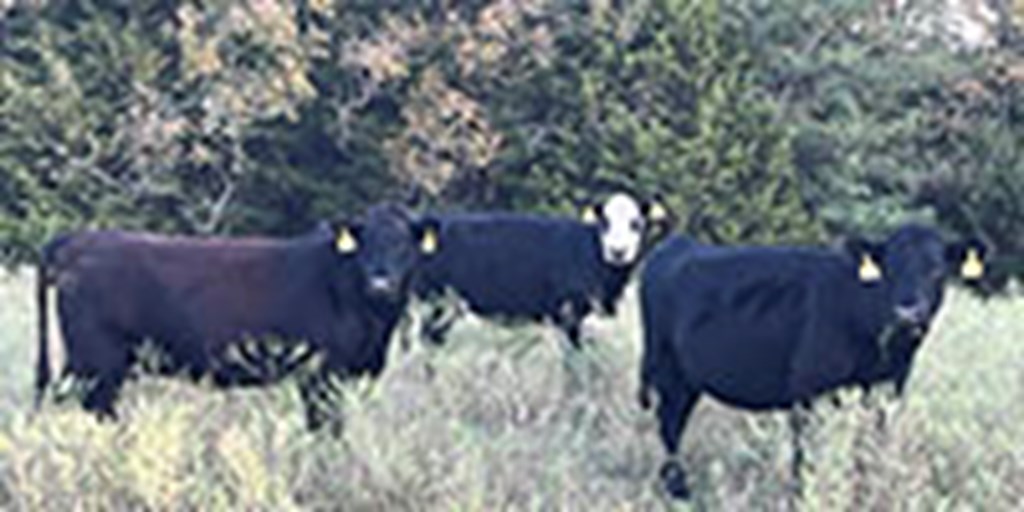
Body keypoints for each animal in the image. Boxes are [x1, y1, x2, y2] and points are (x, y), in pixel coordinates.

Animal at [35, 204, 439, 431]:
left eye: (404, 245)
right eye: (365, 245)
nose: (381, 281)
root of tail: (81, 238)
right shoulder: (321, 375)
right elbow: (325, 429)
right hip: (97, 362)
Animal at [638, 225, 986, 499]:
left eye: (937, 271)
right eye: (888, 270)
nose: (907, 314)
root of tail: (677, 244)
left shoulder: (887, 388)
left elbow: (869, 445)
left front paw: (864, 491)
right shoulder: (807, 389)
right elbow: (804, 455)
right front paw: (802, 497)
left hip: (687, 378)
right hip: (667, 368)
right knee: (669, 424)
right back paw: (679, 490)